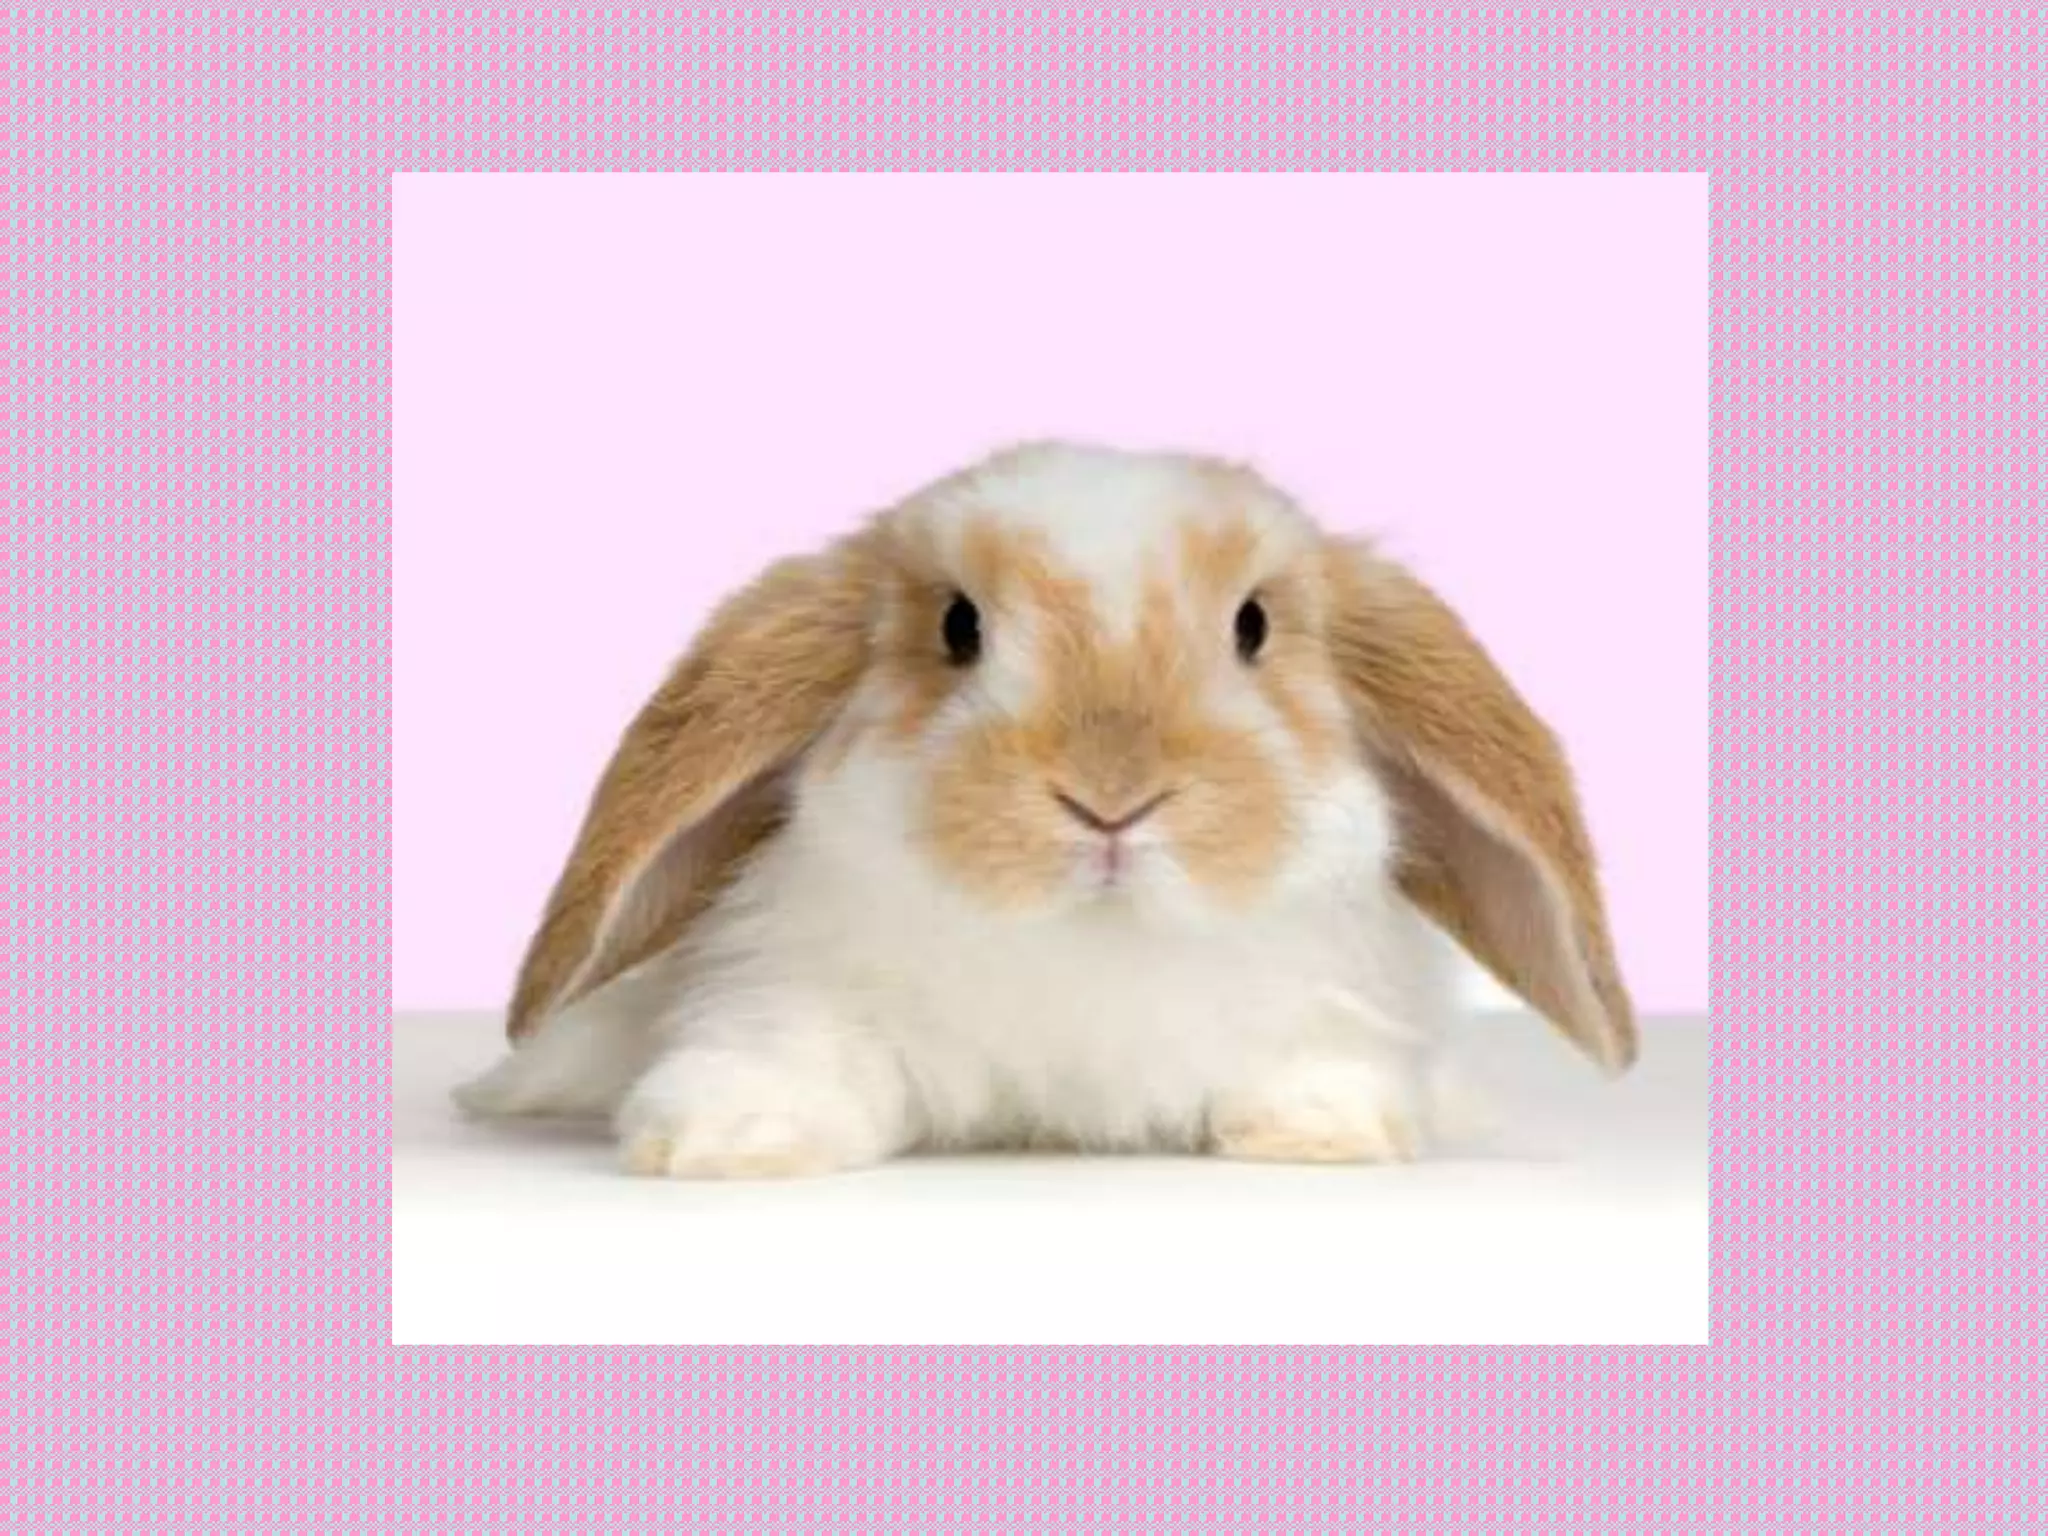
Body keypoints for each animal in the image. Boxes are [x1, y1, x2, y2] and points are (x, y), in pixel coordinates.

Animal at [453, 441, 1637, 1178]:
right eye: (958, 626)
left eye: (1252, 626)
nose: (1110, 798)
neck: (1089, 944)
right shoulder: (790, 988)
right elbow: (779, 1059)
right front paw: (727, 1141)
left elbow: (1315, 1067)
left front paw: (1320, 1133)